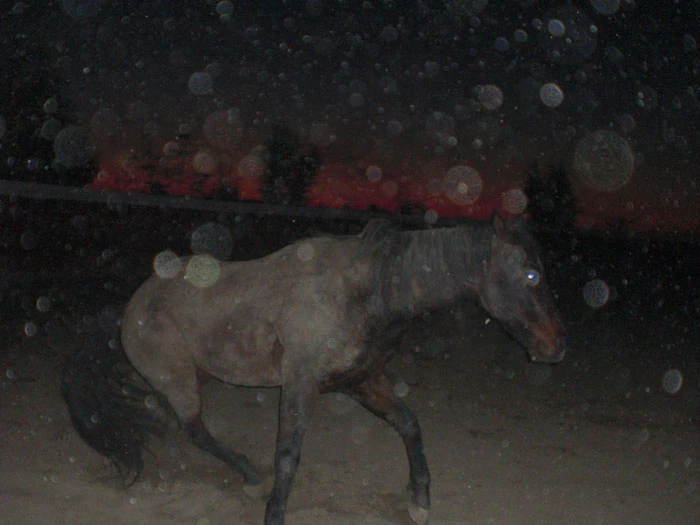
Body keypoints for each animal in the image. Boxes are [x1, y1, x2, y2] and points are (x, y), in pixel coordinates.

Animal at [62, 213, 566, 525]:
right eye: (530, 274)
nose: (556, 346)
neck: (368, 289)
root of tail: (128, 307)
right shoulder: (300, 384)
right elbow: (288, 454)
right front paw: (273, 512)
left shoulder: (362, 382)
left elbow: (409, 424)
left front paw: (420, 500)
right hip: (180, 381)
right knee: (193, 430)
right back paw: (248, 475)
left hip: (185, 376)